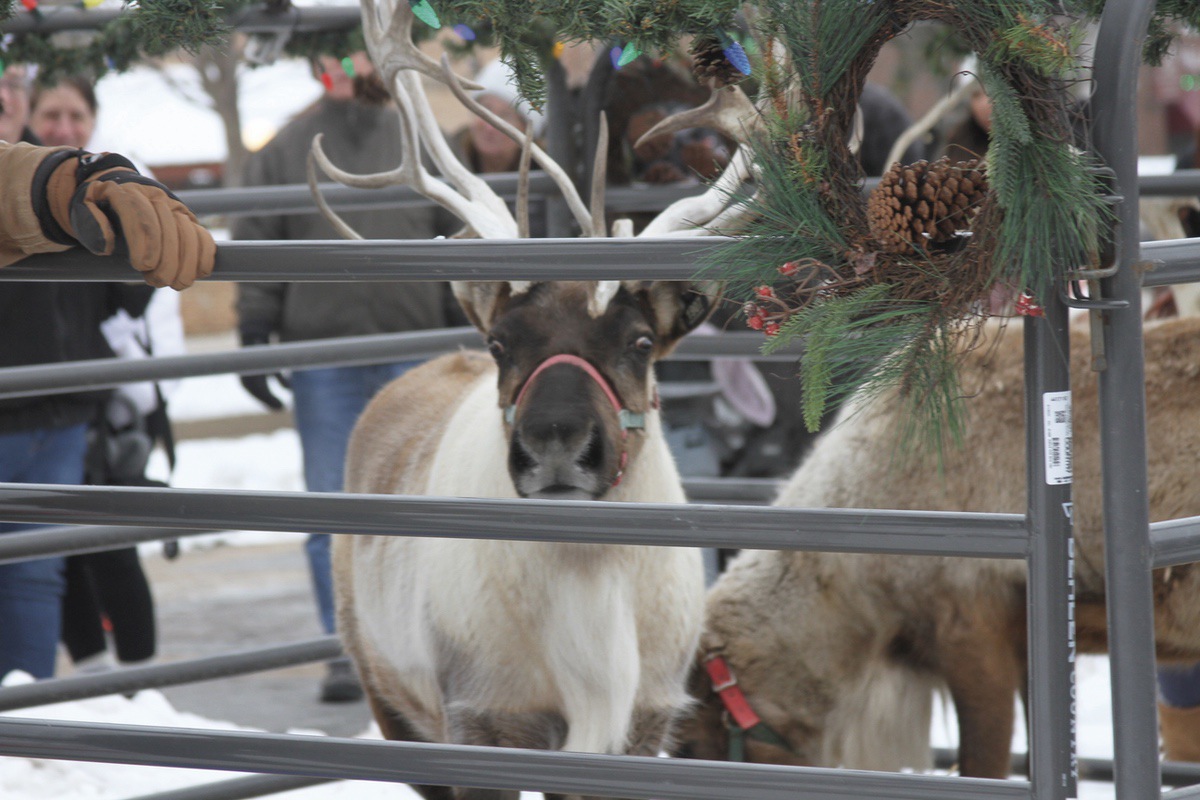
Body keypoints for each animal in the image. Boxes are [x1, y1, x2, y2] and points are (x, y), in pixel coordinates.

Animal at [315, 2, 769, 797]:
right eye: (501, 343)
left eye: (640, 342)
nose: (556, 440)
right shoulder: (480, 721)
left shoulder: (641, 726)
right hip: (392, 702)